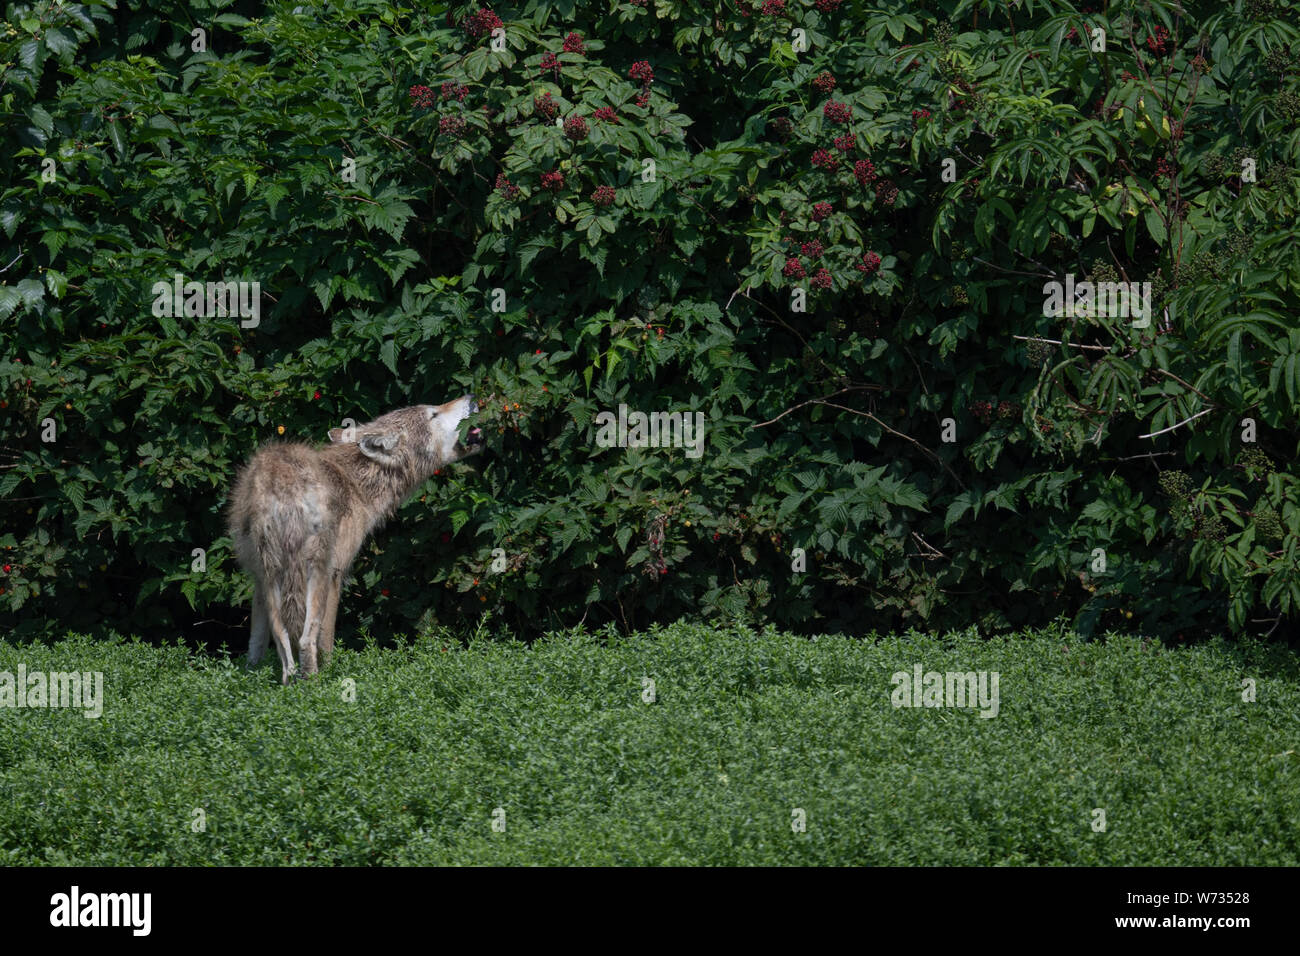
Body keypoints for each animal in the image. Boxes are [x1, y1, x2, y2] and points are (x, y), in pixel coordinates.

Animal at [229, 397, 484, 683]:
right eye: (433, 414)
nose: (471, 397)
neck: (356, 484)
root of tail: (281, 481)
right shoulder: (336, 574)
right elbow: (325, 642)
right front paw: (332, 673)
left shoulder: (257, 581)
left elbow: (256, 643)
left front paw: (251, 673)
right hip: (314, 575)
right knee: (305, 641)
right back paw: (316, 685)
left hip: (272, 575)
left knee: (283, 642)